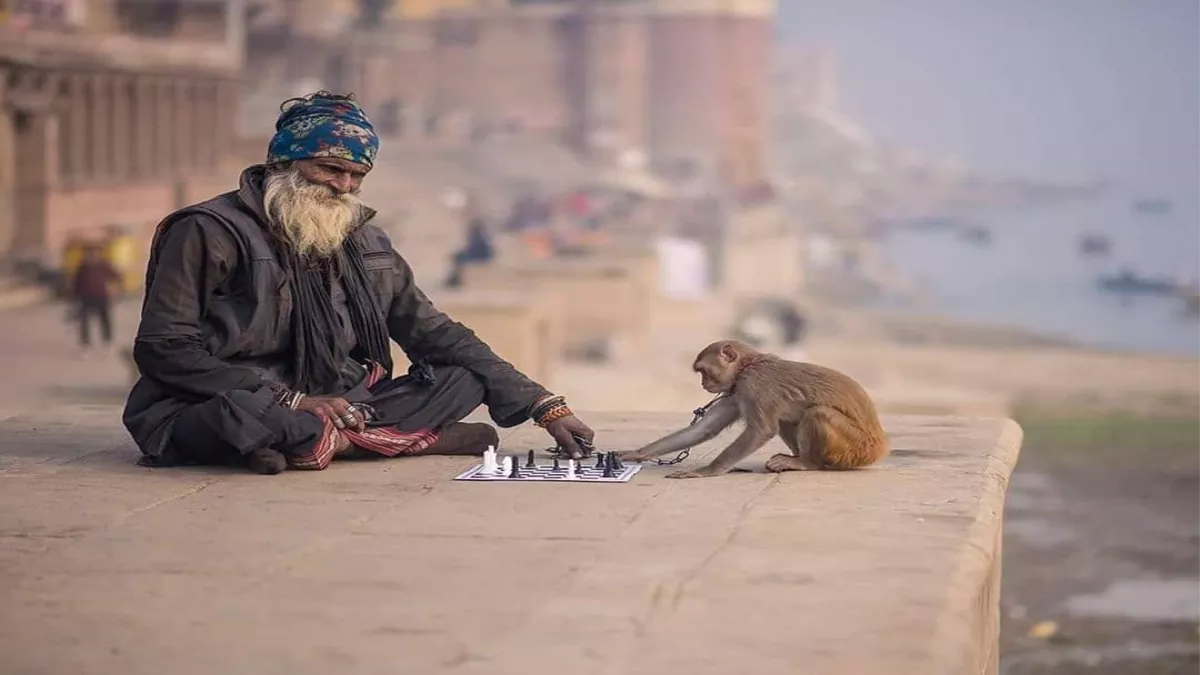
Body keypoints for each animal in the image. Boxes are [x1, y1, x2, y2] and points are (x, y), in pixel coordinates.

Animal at [619, 340, 889, 479]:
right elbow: (704, 430)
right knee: (788, 418)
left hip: (857, 448)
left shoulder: (752, 384)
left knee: (817, 413)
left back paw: (807, 463)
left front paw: (707, 471)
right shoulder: (735, 391)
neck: (748, 365)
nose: (704, 384)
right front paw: (635, 453)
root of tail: (881, 446)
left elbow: (761, 430)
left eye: (704, 371)